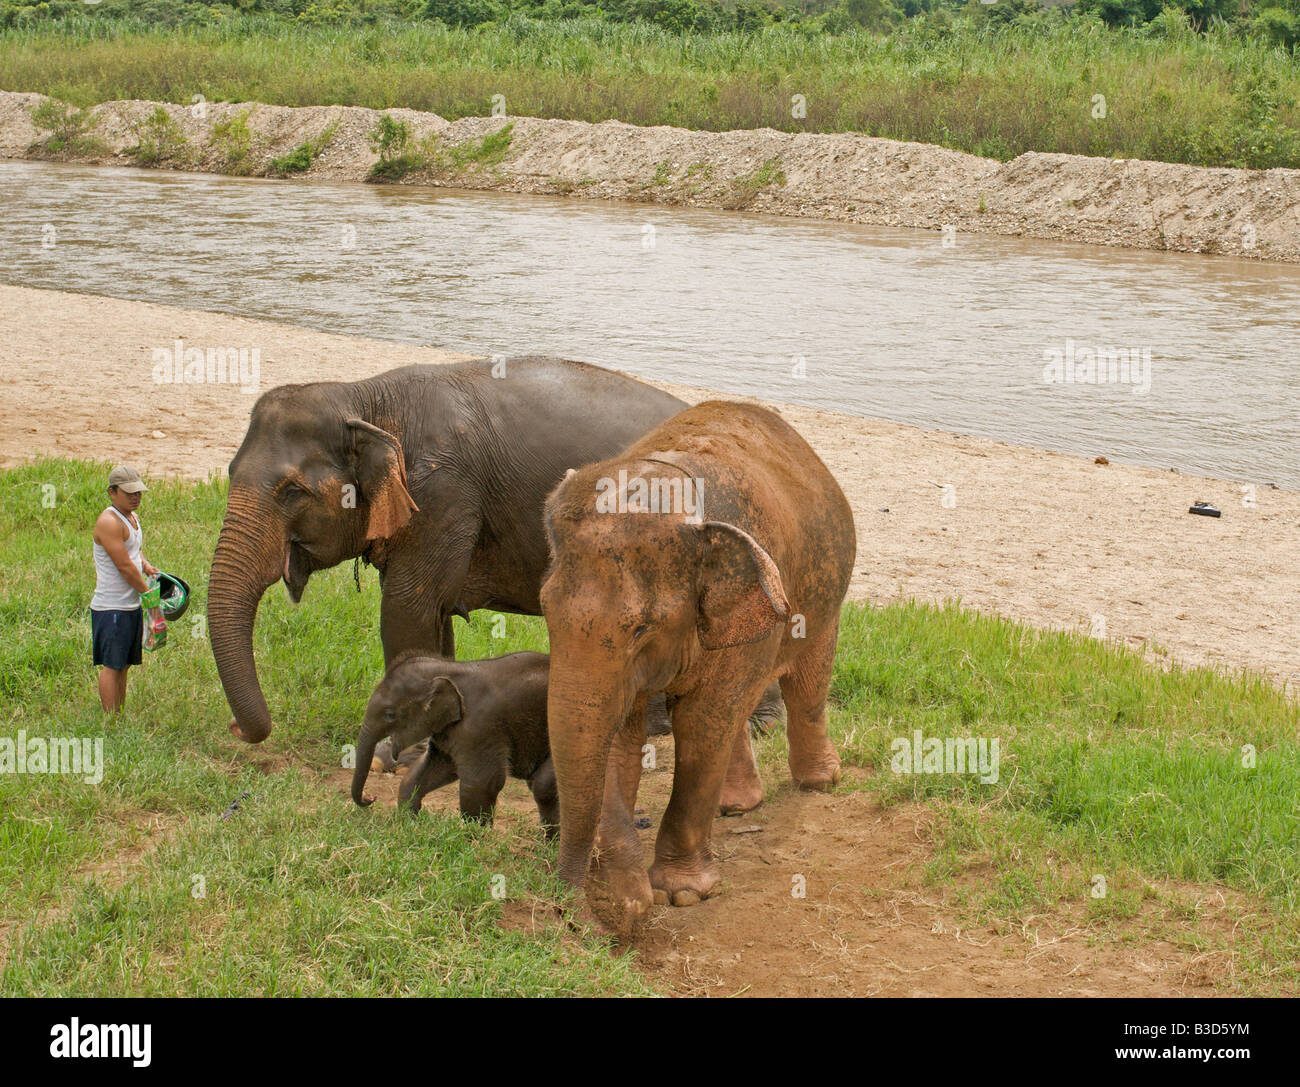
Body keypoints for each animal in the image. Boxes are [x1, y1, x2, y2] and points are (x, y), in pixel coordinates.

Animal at [208, 357, 685, 744]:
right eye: (229, 471)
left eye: (291, 491)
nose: (234, 728)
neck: (365, 396)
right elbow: (434, 619)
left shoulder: (443, 491)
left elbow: (406, 609)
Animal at [352, 651, 555, 834]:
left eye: (389, 714)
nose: (370, 797)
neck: (451, 668)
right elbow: (431, 770)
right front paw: (409, 824)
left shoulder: (481, 727)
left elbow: (481, 782)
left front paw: (475, 838)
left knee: (544, 786)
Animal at [539, 400, 856, 932]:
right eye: (543, 608)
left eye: (641, 629)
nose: (573, 906)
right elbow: (623, 733)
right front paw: (627, 893)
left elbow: (701, 722)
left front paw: (682, 893)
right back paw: (736, 805)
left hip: (823, 590)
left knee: (806, 680)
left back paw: (820, 782)